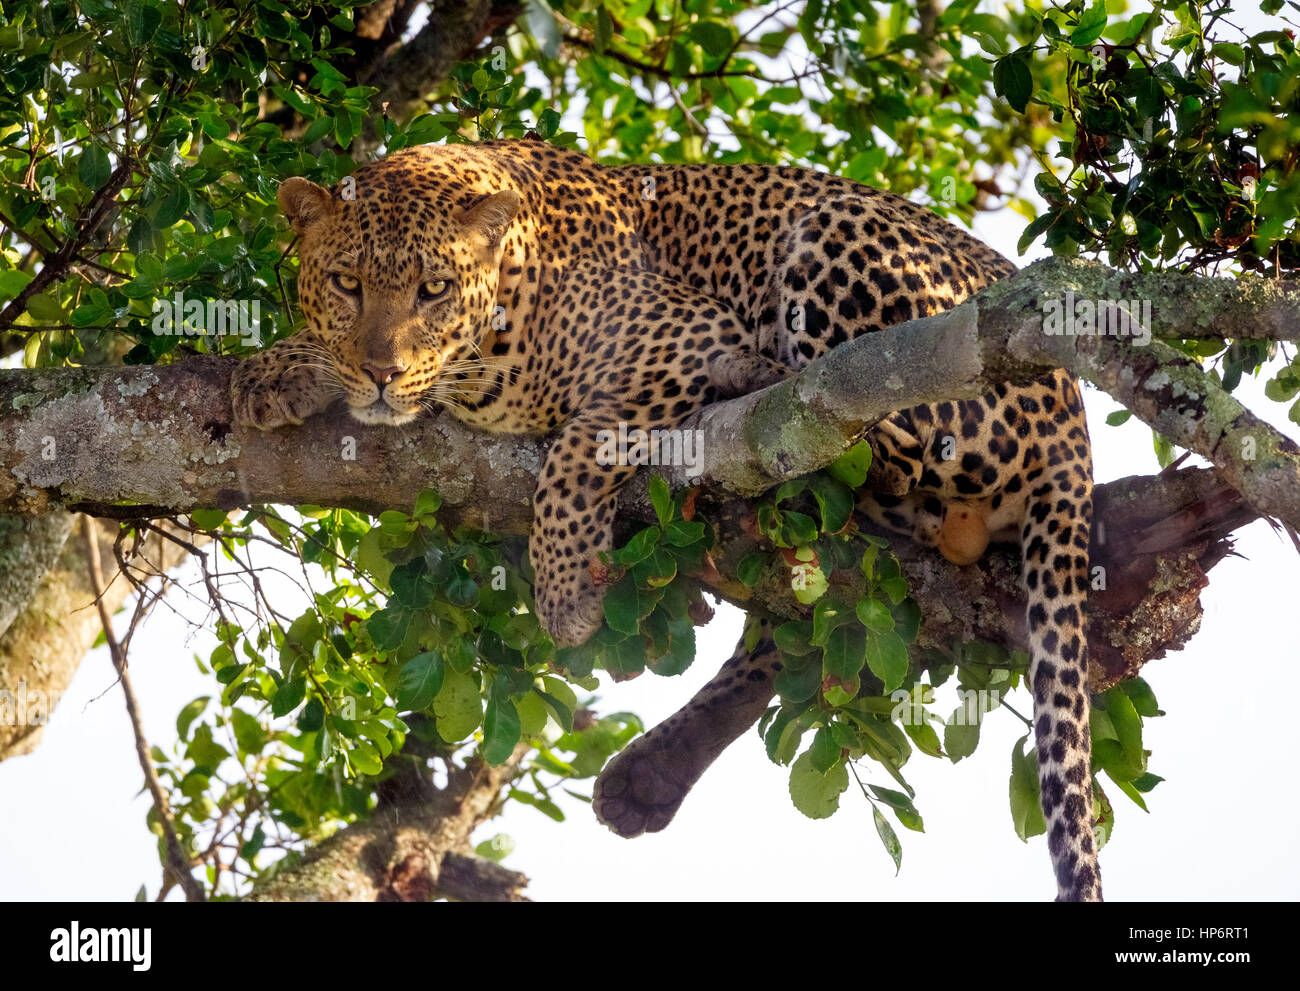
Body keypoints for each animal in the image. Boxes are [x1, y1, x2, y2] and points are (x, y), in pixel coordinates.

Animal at [231, 138, 1100, 901]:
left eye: (433, 290)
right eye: (347, 282)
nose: (383, 370)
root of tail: (1075, 419)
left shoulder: (674, 338)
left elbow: (575, 451)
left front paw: (563, 593)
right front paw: (275, 369)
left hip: (851, 268)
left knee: (877, 436)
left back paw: (755, 383)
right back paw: (648, 775)